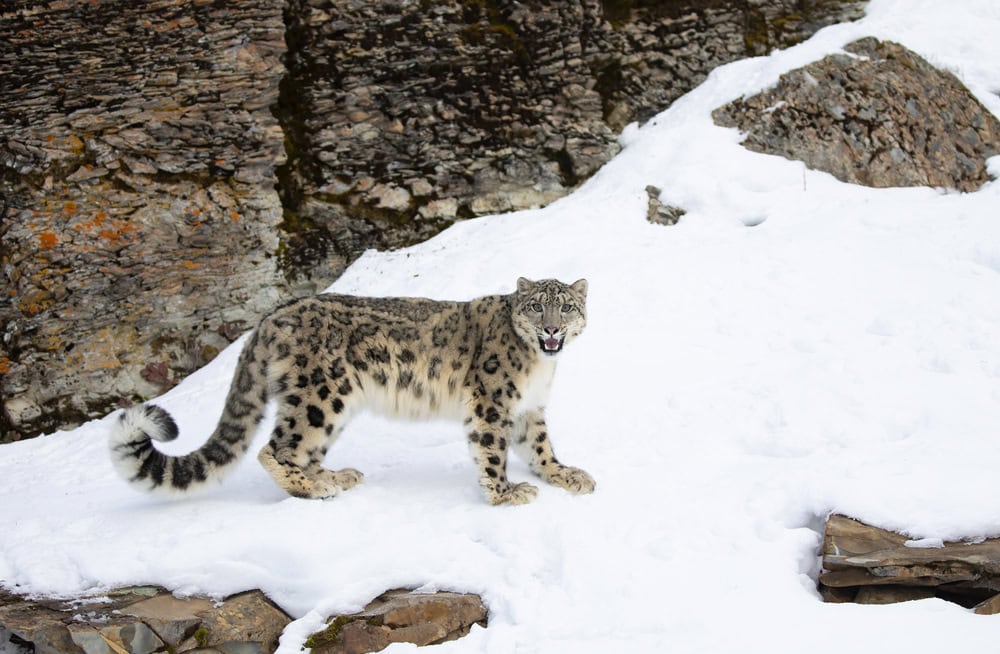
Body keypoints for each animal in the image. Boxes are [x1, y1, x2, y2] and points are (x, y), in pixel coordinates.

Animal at [109, 277, 595, 505]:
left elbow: (540, 446)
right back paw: (314, 488)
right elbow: (492, 448)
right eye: (536, 306)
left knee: (303, 450)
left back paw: (332, 477)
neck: (539, 365)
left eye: (567, 307)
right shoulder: (492, 400)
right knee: (275, 449)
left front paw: (567, 475)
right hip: (321, 395)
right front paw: (505, 494)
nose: (552, 328)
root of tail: (270, 318)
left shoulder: (528, 408)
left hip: (329, 407)